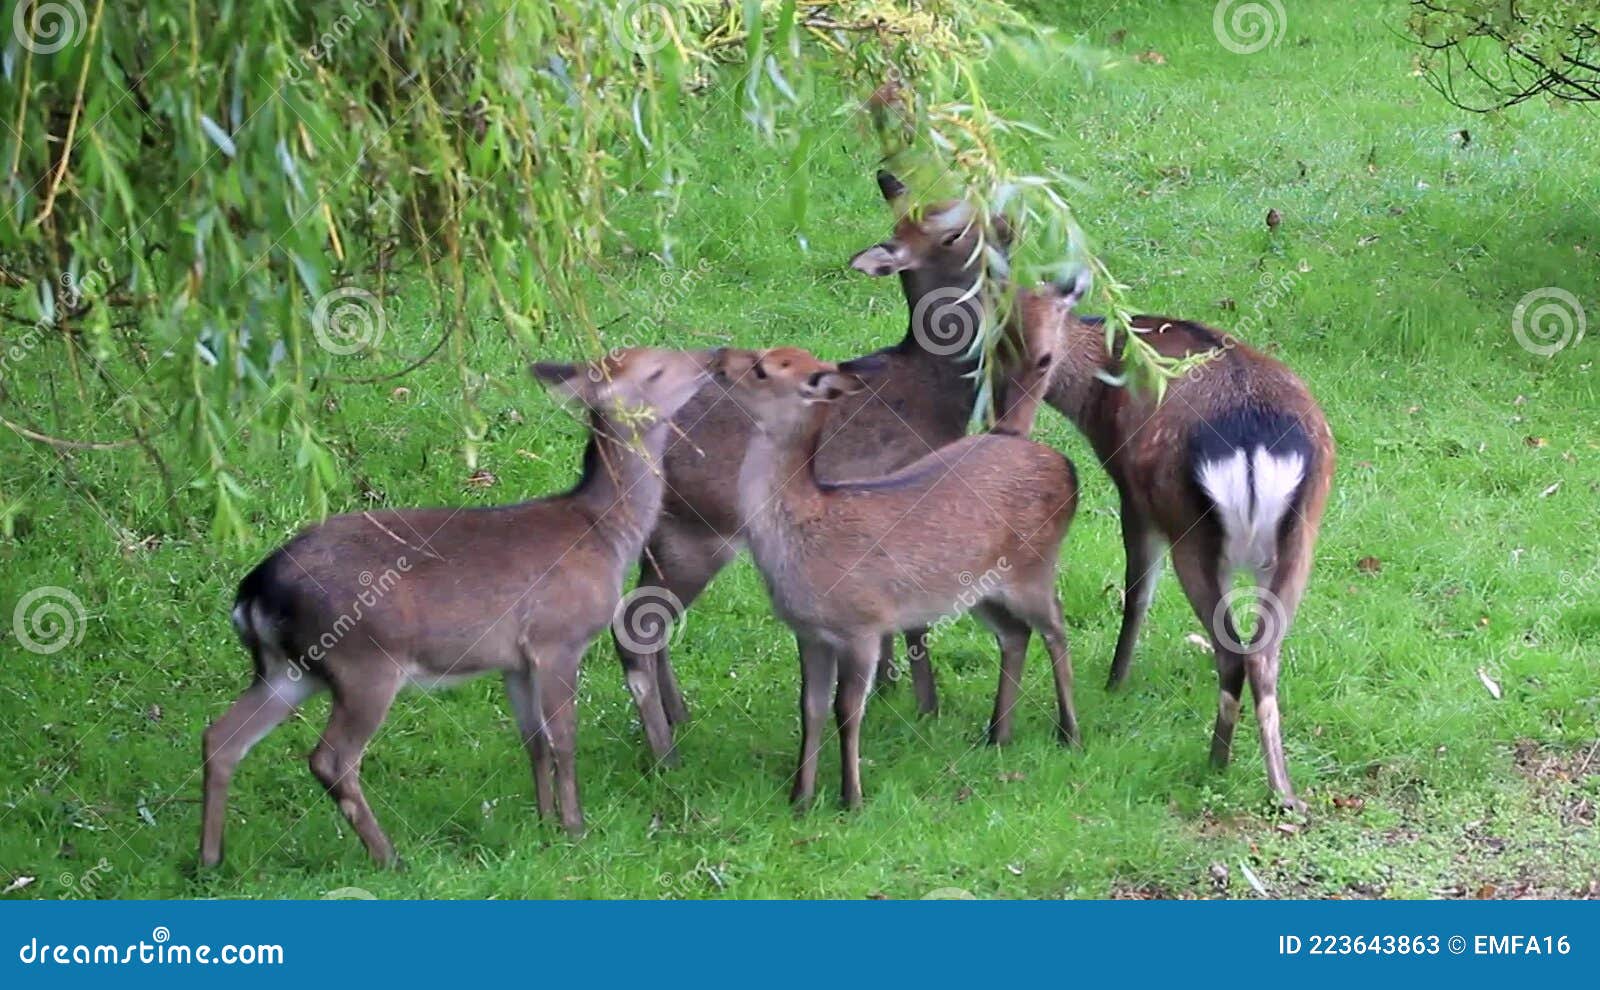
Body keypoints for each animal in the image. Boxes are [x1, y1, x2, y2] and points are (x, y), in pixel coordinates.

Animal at [199, 348, 713, 867]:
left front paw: (544, 823)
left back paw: (209, 861)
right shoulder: (558, 638)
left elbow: (533, 741)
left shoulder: (515, 660)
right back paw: (389, 857)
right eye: (656, 369)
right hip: (364, 663)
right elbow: (563, 737)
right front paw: (575, 828)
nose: (708, 361)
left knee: (221, 738)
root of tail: (254, 591)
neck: (604, 535)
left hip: (285, 670)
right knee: (331, 758)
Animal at [614, 170, 1015, 763]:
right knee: (634, 624)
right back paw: (665, 753)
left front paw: (889, 686)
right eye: (953, 233)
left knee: (647, 620)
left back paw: (679, 717)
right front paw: (926, 704)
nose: (1008, 224)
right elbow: (917, 619)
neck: (937, 393)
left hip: (663, 538)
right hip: (698, 532)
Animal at [707, 279, 1086, 809]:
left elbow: (848, 709)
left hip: (1034, 565)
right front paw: (800, 798)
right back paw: (997, 733)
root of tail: (1065, 469)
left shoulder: (864, 625)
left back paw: (1068, 732)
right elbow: (811, 707)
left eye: (764, 367)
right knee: (1015, 634)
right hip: (978, 590)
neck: (801, 541)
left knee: (1056, 627)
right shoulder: (808, 632)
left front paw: (851, 798)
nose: (720, 357)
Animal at [1030, 268, 1334, 811]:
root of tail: (1253, 444)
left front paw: (1114, 683)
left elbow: (1137, 592)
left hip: (1189, 528)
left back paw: (1218, 763)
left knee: (1233, 651)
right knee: (1263, 653)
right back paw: (1283, 791)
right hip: (1302, 532)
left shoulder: (1132, 493)